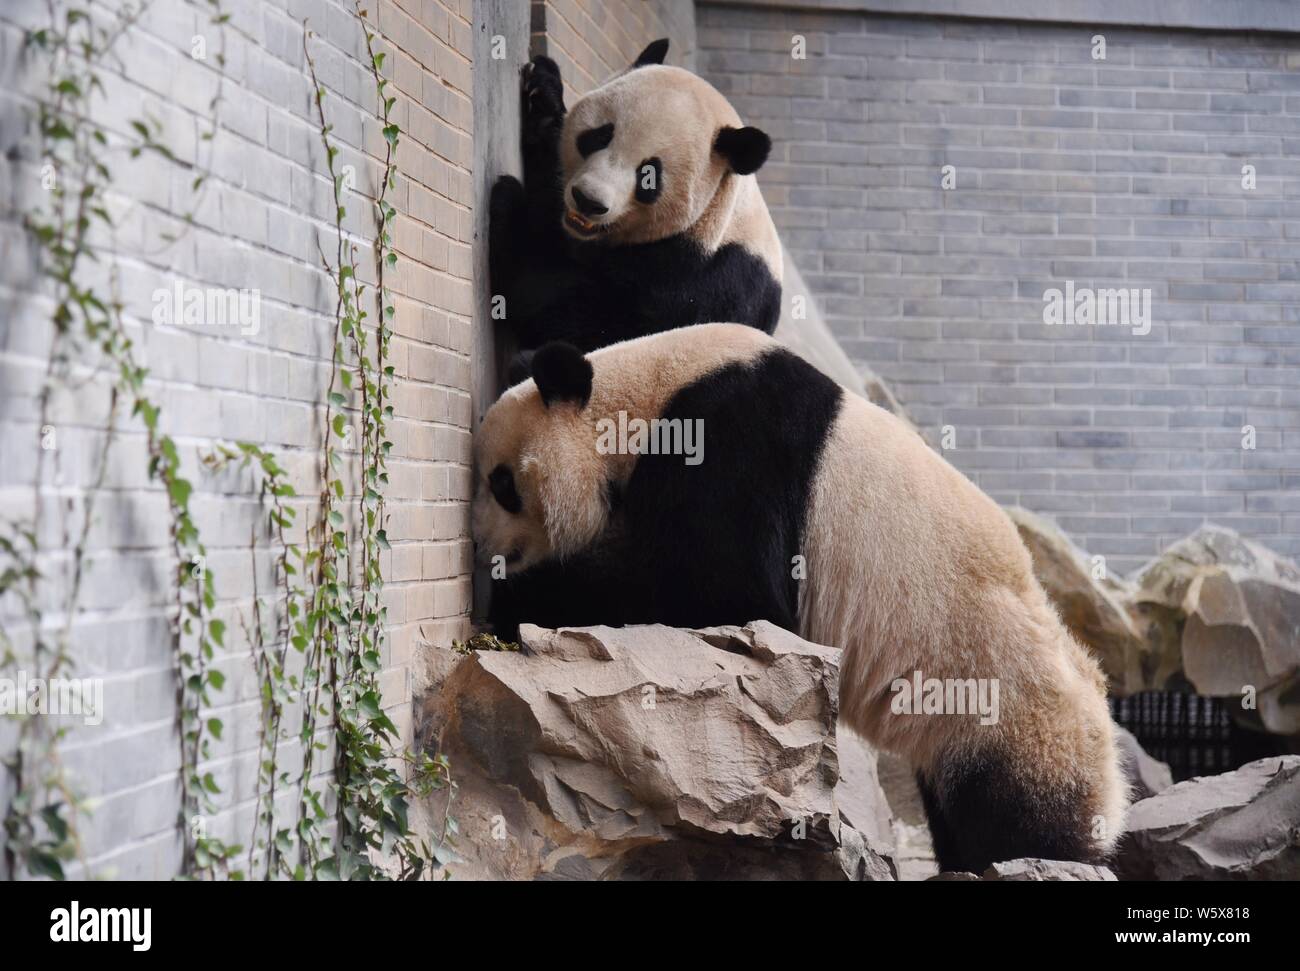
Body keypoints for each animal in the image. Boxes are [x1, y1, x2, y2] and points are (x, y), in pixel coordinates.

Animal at [471, 324, 1128, 874]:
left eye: (502, 483)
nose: (483, 548)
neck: (648, 392)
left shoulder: (736, 441)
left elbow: (718, 585)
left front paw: (514, 600)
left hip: (1008, 711)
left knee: (1018, 825)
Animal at [490, 40, 783, 354]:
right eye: (599, 136)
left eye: (648, 175)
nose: (588, 200)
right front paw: (544, 92)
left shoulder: (708, 279)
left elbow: (598, 325)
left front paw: (509, 209)